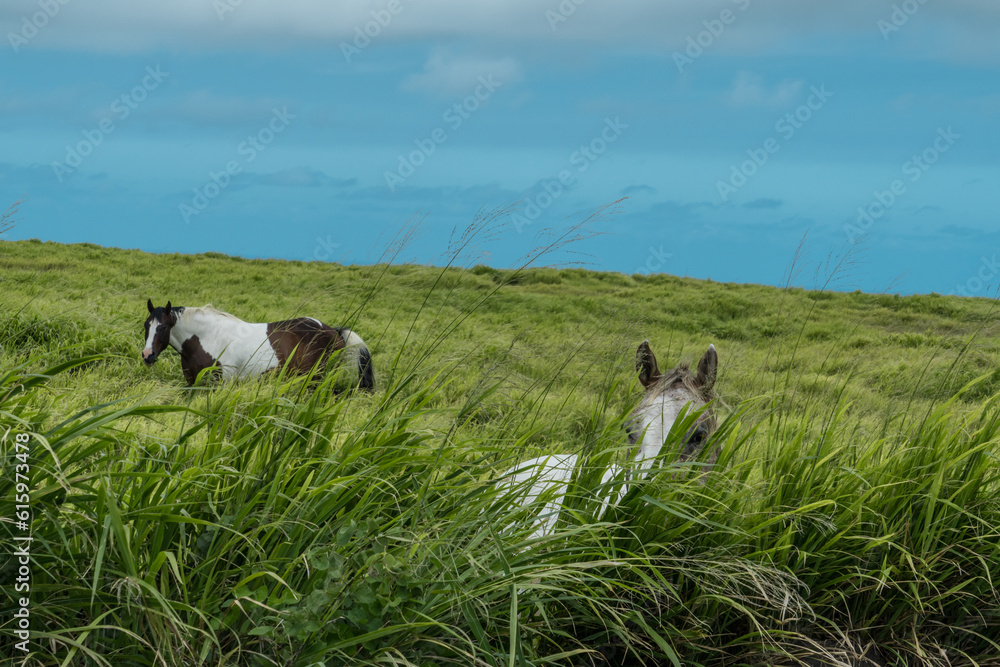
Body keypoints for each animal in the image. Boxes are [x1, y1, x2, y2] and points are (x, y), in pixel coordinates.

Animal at [141, 300, 374, 390]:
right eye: (146, 325)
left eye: (162, 327)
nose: (147, 355)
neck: (208, 338)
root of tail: (333, 331)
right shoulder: (193, 384)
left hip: (313, 380)